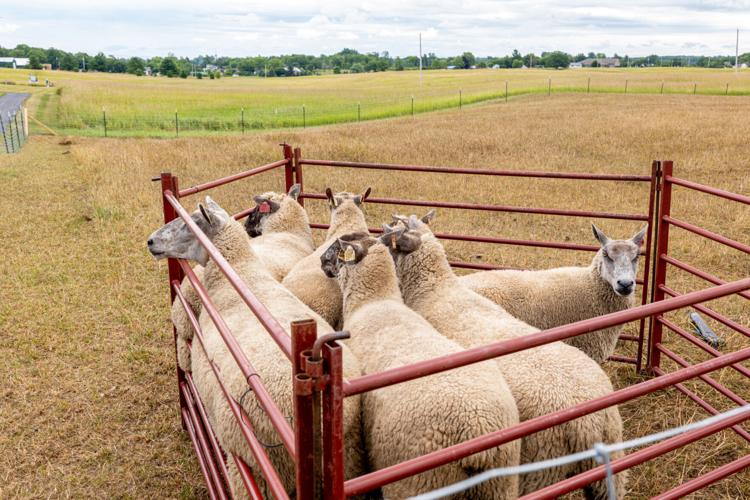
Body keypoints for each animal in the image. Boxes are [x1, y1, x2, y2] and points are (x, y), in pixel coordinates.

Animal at [321, 231, 521, 499]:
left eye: (338, 250)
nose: (321, 261)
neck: (374, 301)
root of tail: (476, 431)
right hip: (499, 484)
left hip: (419, 481)